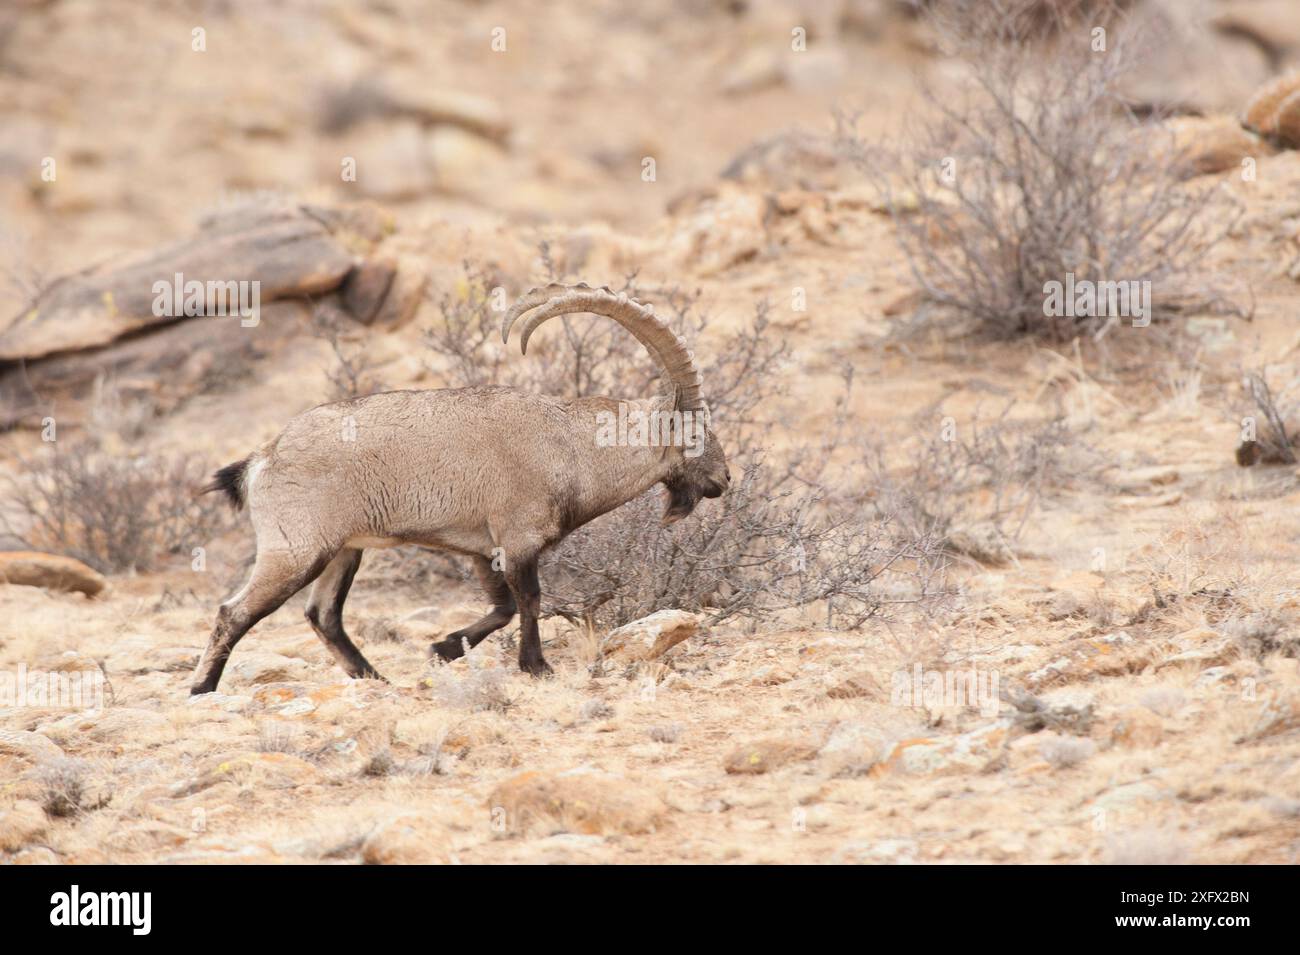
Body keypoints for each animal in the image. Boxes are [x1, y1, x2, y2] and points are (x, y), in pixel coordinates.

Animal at [191, 284, 731, 693]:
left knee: (322, 614)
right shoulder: (517, 538)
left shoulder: (481, 548)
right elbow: (529, 600)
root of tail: (261, 458)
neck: (571, 449)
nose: (724, 480)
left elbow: (503, 607)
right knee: (234, 612)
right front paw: (536, 666)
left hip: (344, 550)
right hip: (296, 549)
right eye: (696, 431)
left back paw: (374, 678)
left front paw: (443, 648)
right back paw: (203, 688)